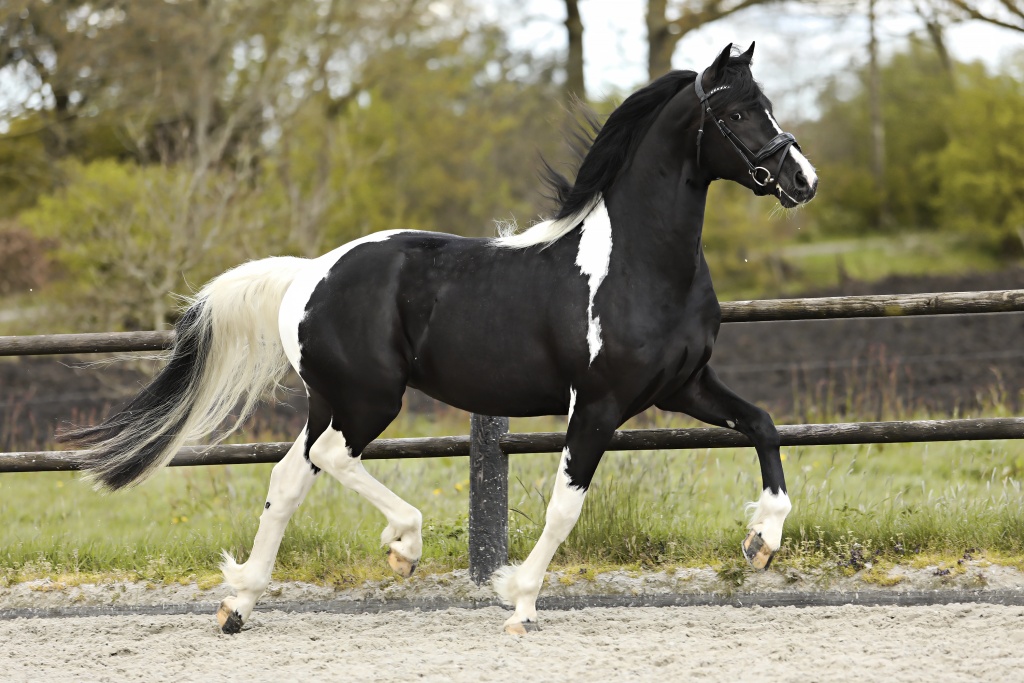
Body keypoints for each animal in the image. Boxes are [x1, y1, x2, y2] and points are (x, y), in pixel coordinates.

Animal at [60, 42, 817, 635]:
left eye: (768, 103)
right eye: (738, 113)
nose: (802, 179)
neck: (640, 263)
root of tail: (309, 272)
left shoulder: (683, 385)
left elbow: (764, 423)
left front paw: (762, 540)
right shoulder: (597, 403)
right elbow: (565, 507)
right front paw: (520, 601)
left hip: (330, 400)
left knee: (287, 479)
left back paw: (240, 603)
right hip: (369, 399)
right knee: (331, 459)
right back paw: (404, 543)